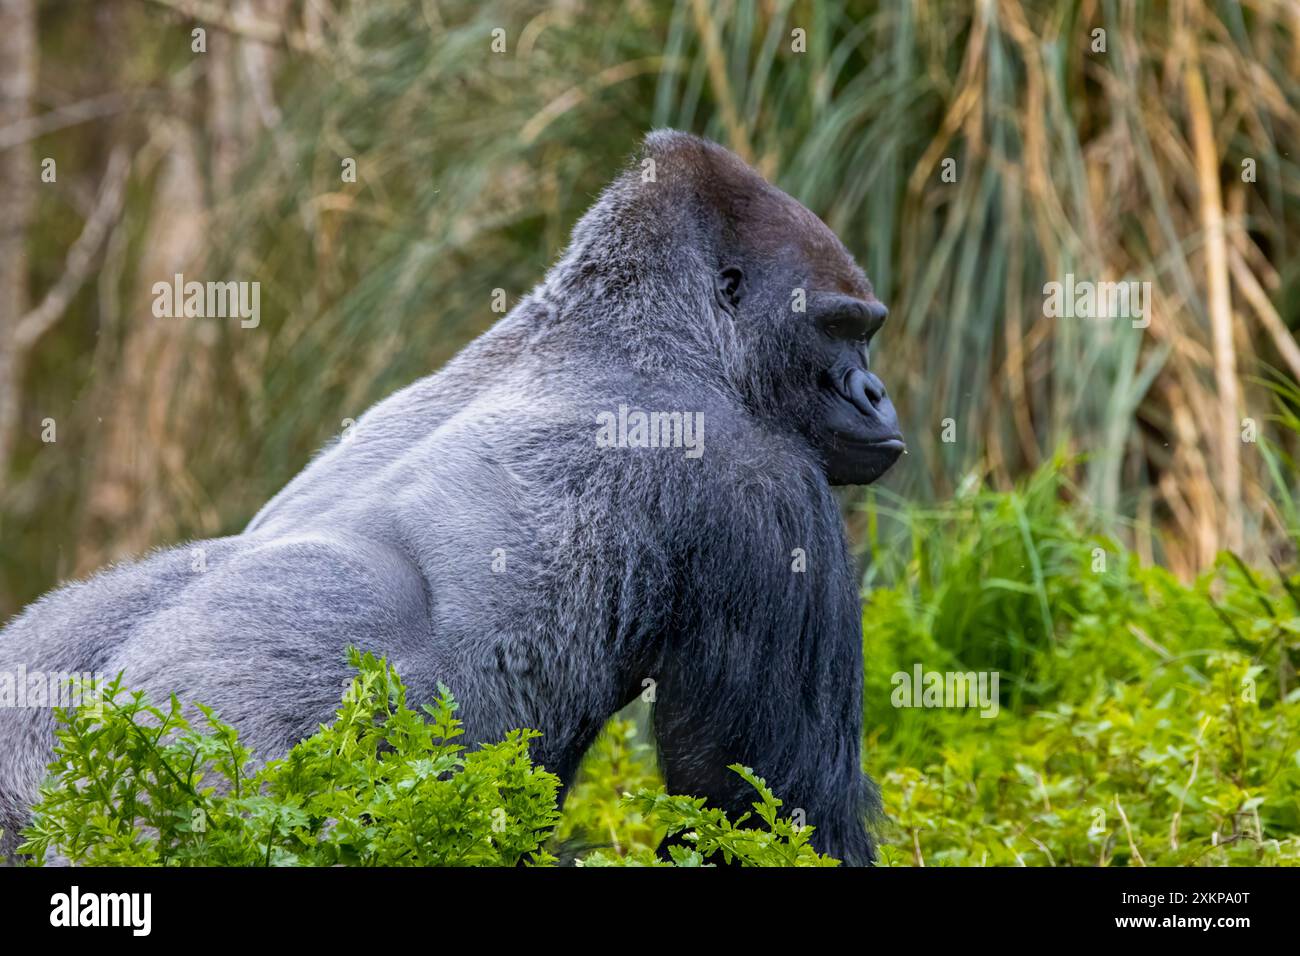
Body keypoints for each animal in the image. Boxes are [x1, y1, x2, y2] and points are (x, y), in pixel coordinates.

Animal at [0, 130, 903, 865]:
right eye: (840, 327)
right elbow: (766, 808)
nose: (875, 393)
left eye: (868, 332)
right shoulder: (767, 483)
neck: (643, 328)